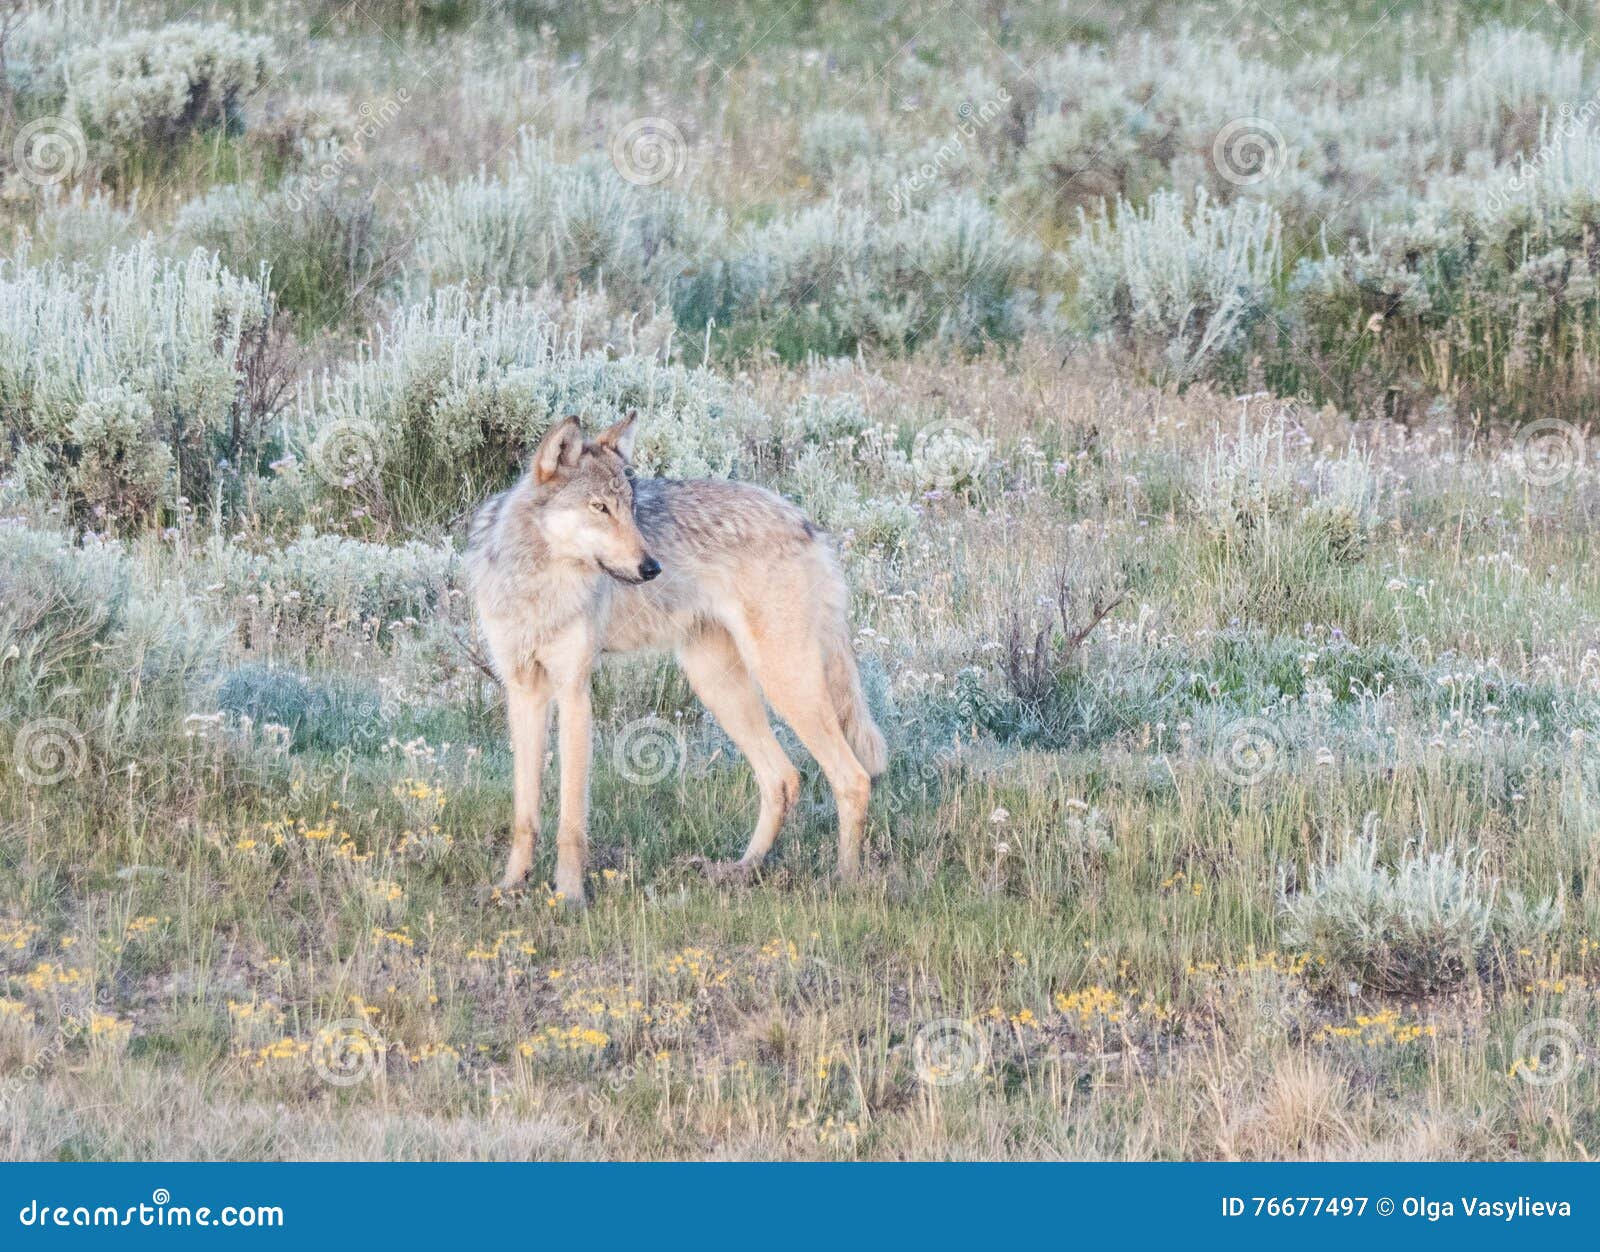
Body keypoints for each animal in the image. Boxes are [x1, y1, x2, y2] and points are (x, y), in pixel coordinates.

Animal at [466, 412, 887, 902]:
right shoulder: (523, 691)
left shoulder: (573, 691)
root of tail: (807, 523)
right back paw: (739, 870)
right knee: (783, 778)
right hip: (719, 688)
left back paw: (845, 882)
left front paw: (569, 896)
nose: (651, 568)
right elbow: (525, 812)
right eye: (599, 508)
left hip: (784, 682)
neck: (537, 584)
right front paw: (510, 887)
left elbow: (570, 818)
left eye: (630, 508)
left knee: (852, 778)